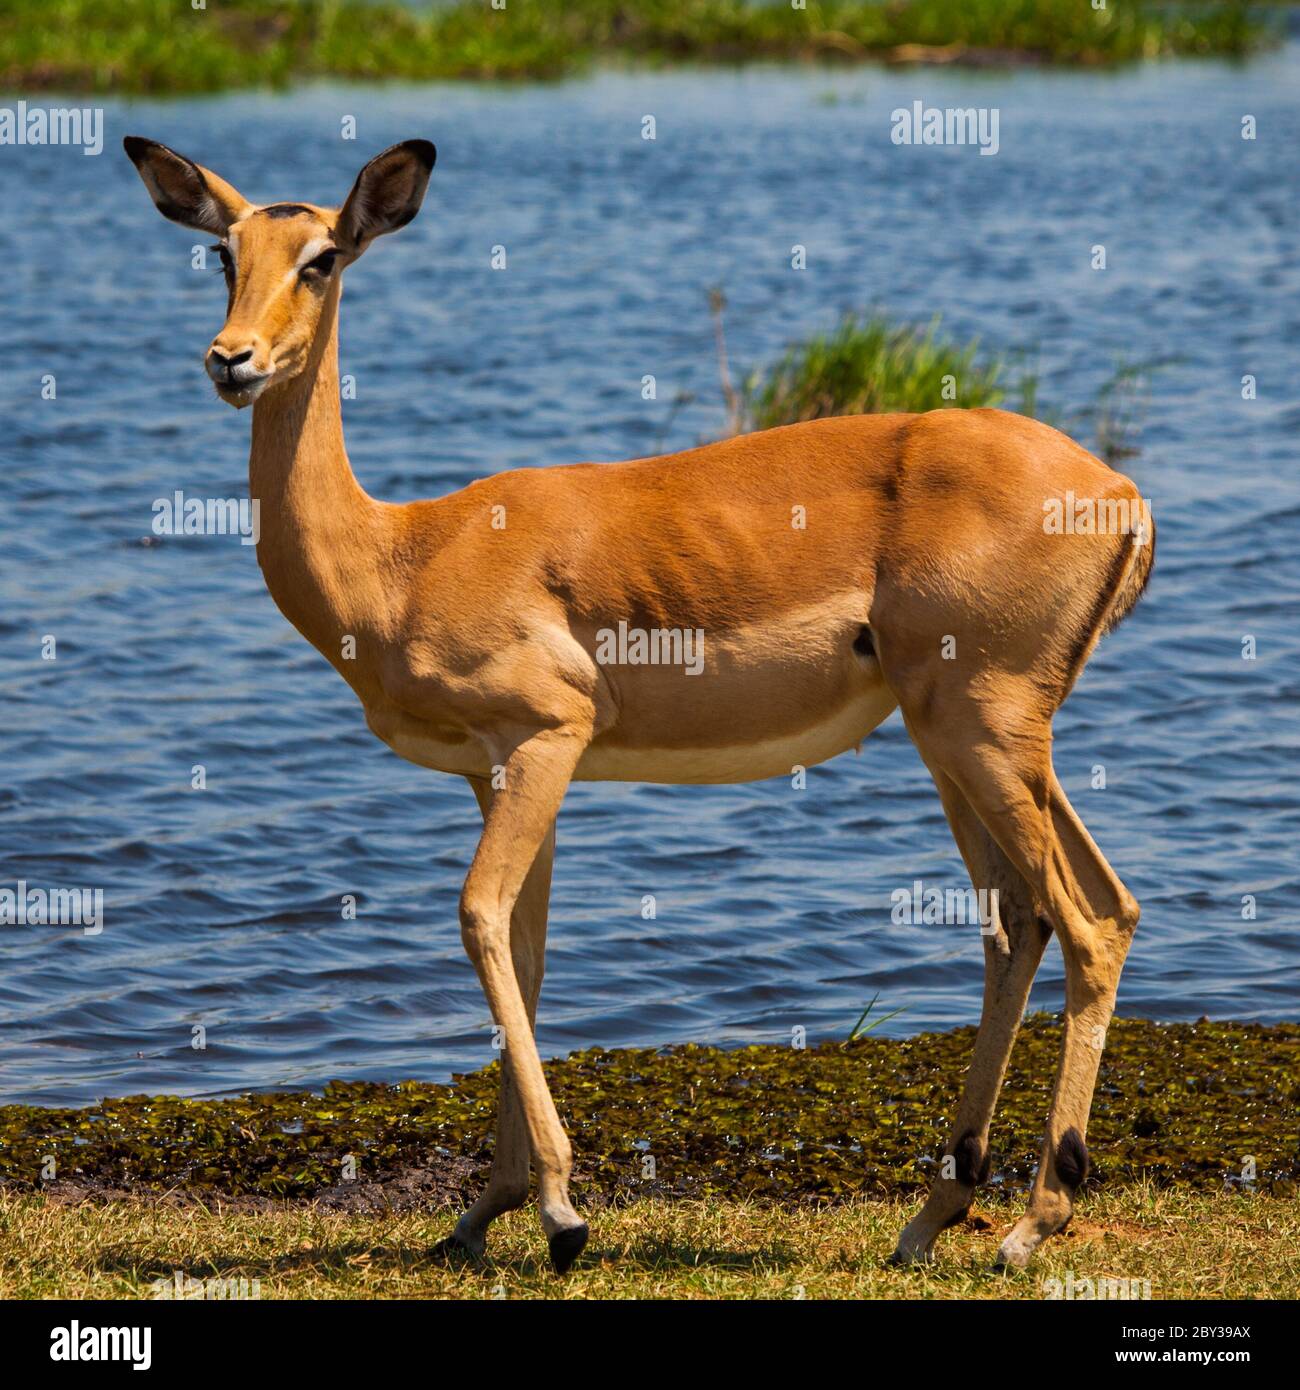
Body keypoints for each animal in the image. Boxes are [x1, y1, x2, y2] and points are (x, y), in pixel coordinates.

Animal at [124, 135, 1154, 1274]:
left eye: (322, 259)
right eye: (223, 253)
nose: (232, 360)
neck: (403, 558)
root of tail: (1117, 493)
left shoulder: (546, 738)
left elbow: (477, 920)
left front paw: (563, 1214)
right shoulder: (496, 770)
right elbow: (524, 954)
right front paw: (483, 1213)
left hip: (981, 731)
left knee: (1088, 920)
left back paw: (1029, 1222)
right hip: (962, 743)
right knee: (1024, 920)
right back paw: (932, 1215)